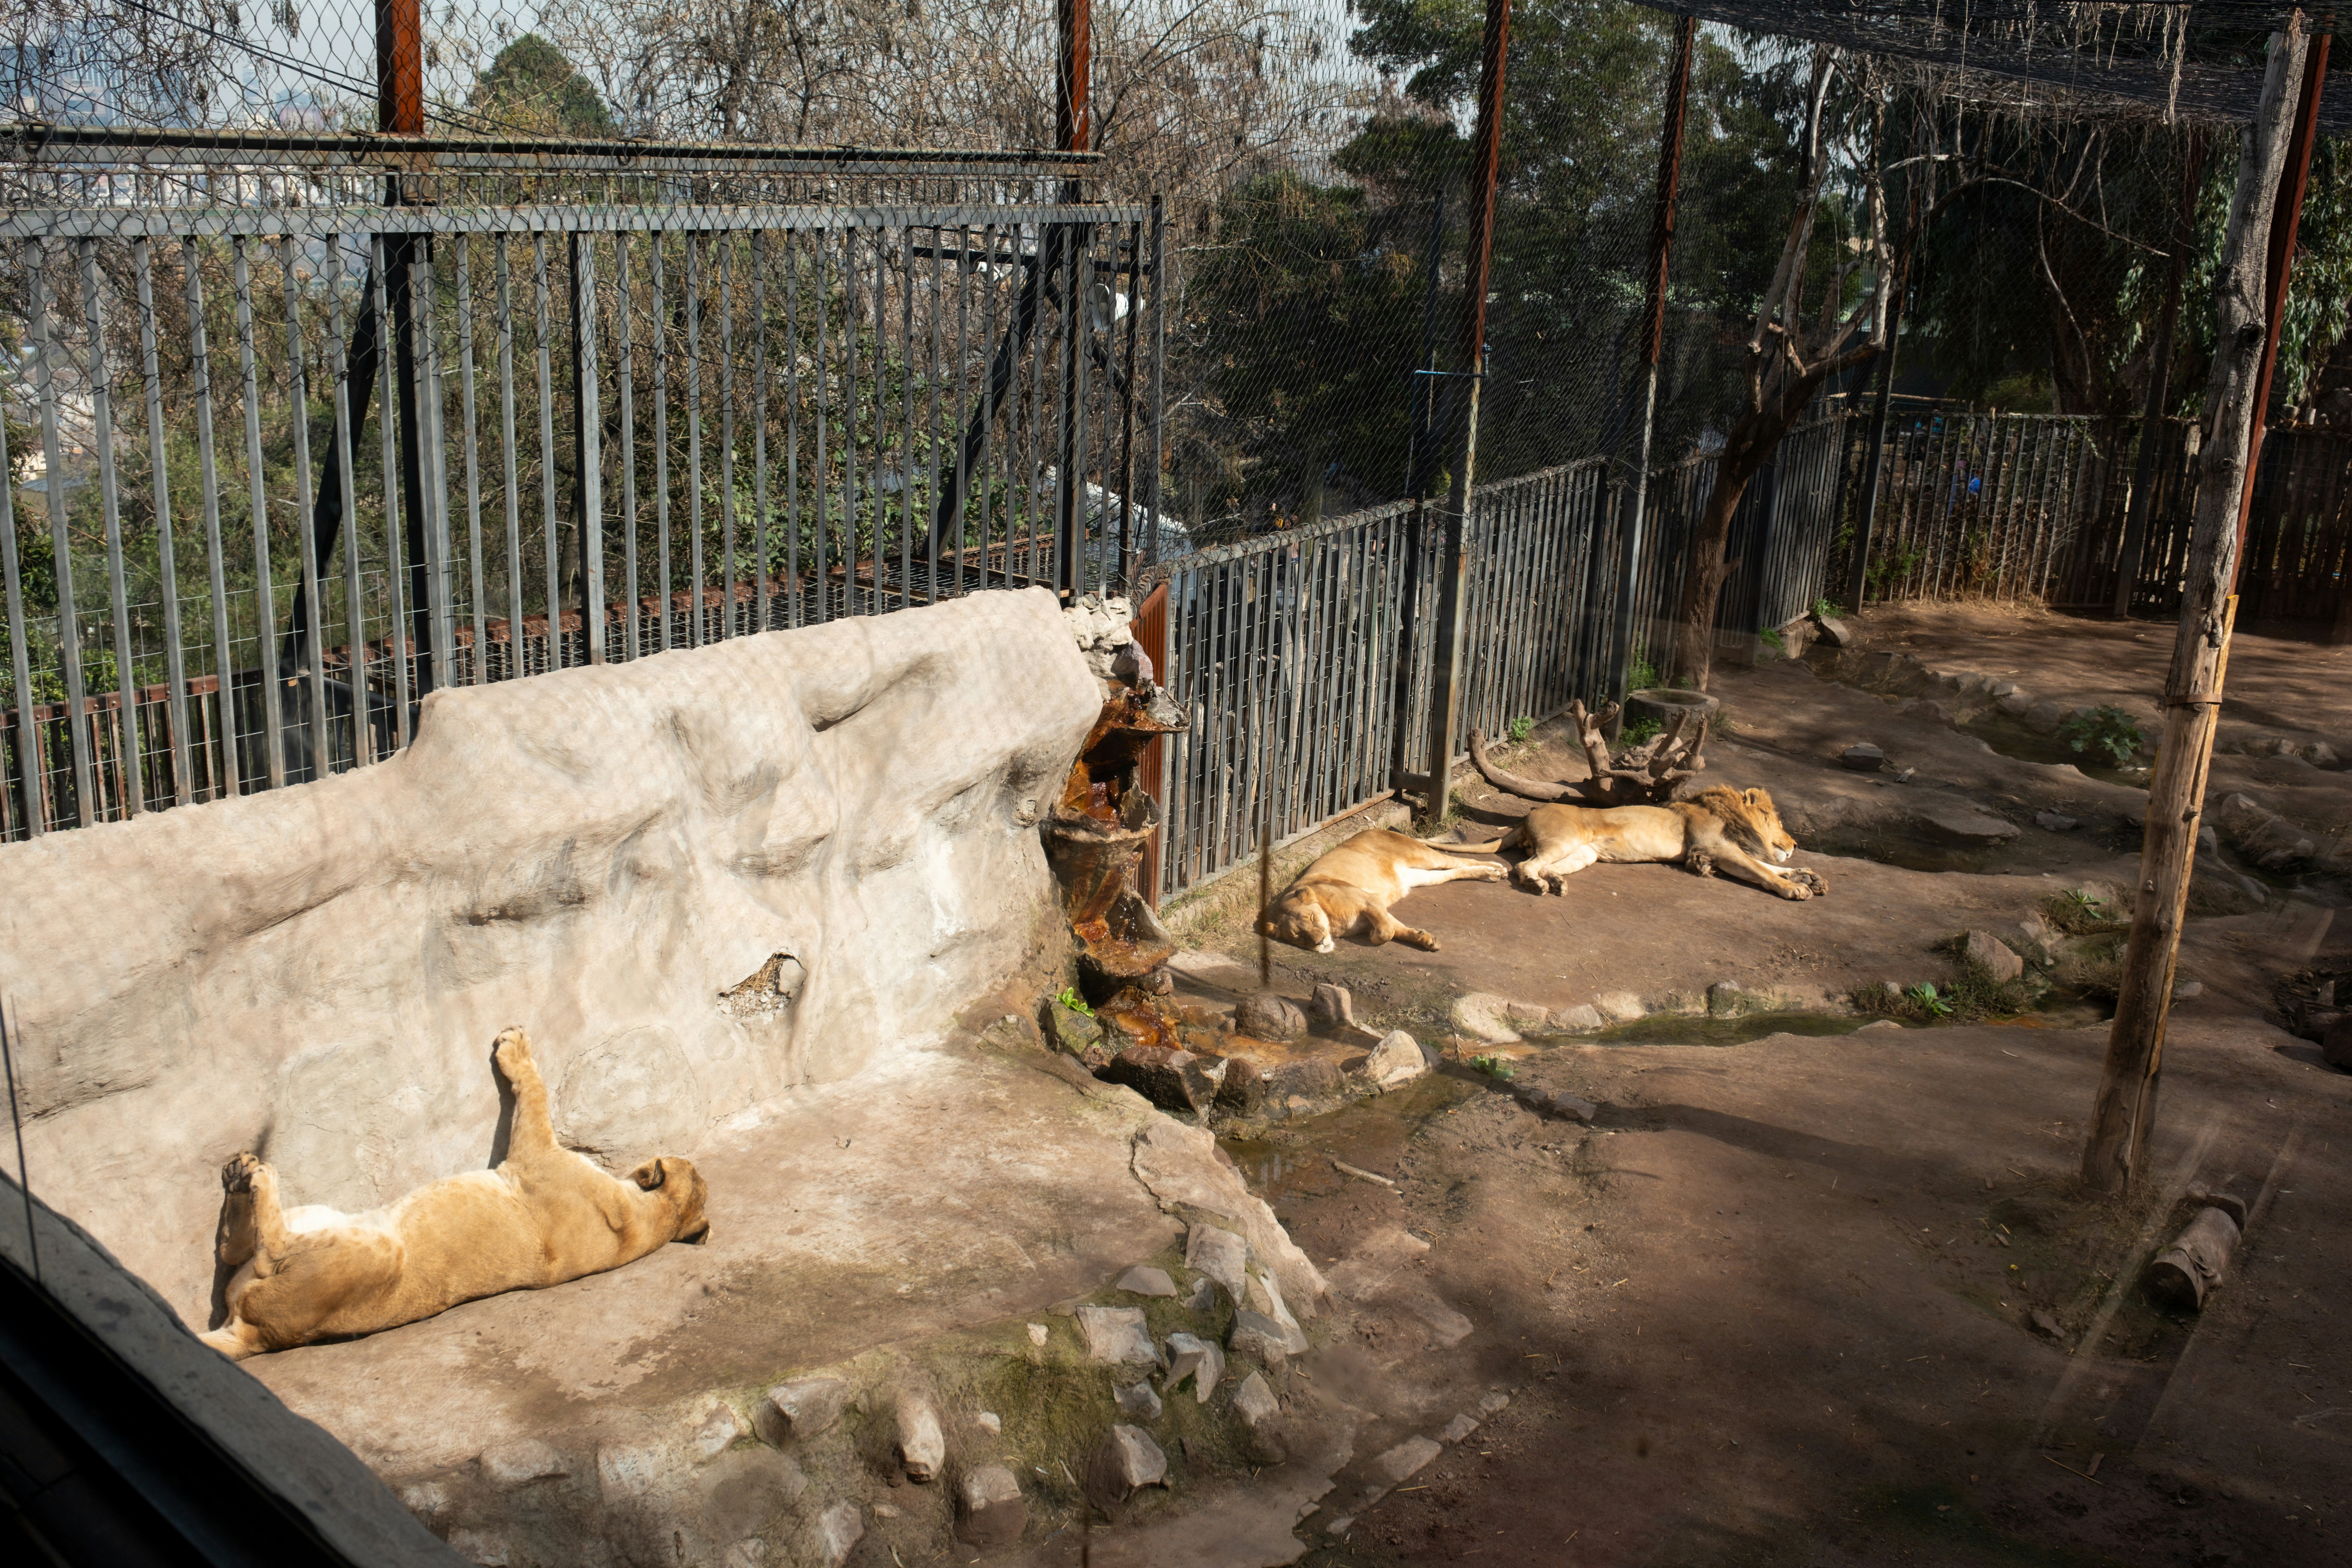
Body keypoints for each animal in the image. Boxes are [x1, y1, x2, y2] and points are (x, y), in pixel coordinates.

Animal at [199, 1026, 710, 1360]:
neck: (655, 1222)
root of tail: (261, 1337)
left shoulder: (535, 1154)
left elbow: (536, 1093)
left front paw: (514, 1046)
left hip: (369, 1251)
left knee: (262, 1247)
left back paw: (257, 1175)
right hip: (321, 1217)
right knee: (235, 1249)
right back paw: (239, 1173)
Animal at [1258, 828, 1506, 953]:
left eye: (1311, 918)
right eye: (1297, 936)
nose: (1320, 942)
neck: (1332, 923)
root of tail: (1378, 828)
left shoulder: (1369, 901)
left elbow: (1387, 932)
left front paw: (1375, 938)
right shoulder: (1375, 908)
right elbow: (1396, 928)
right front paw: (1425, 939)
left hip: (1424, 857)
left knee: (1462, 860)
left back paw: (1497, 870)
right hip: (1421, 877)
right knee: (1455, 871)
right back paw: (1490, 874)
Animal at [1455, 785, 1826, 901]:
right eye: (1779, 822)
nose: (1795, 844)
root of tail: (1525, 816)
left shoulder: (1719, 851)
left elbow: (1763, 866)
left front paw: (1807, 875)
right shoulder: (1715, 848)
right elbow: (1762, 870)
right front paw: (1795, 887)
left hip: (1583, 853)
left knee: (1543, 865)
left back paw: (1556, 882)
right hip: (1567, 840)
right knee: (1523, 865)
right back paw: (1537, 886)